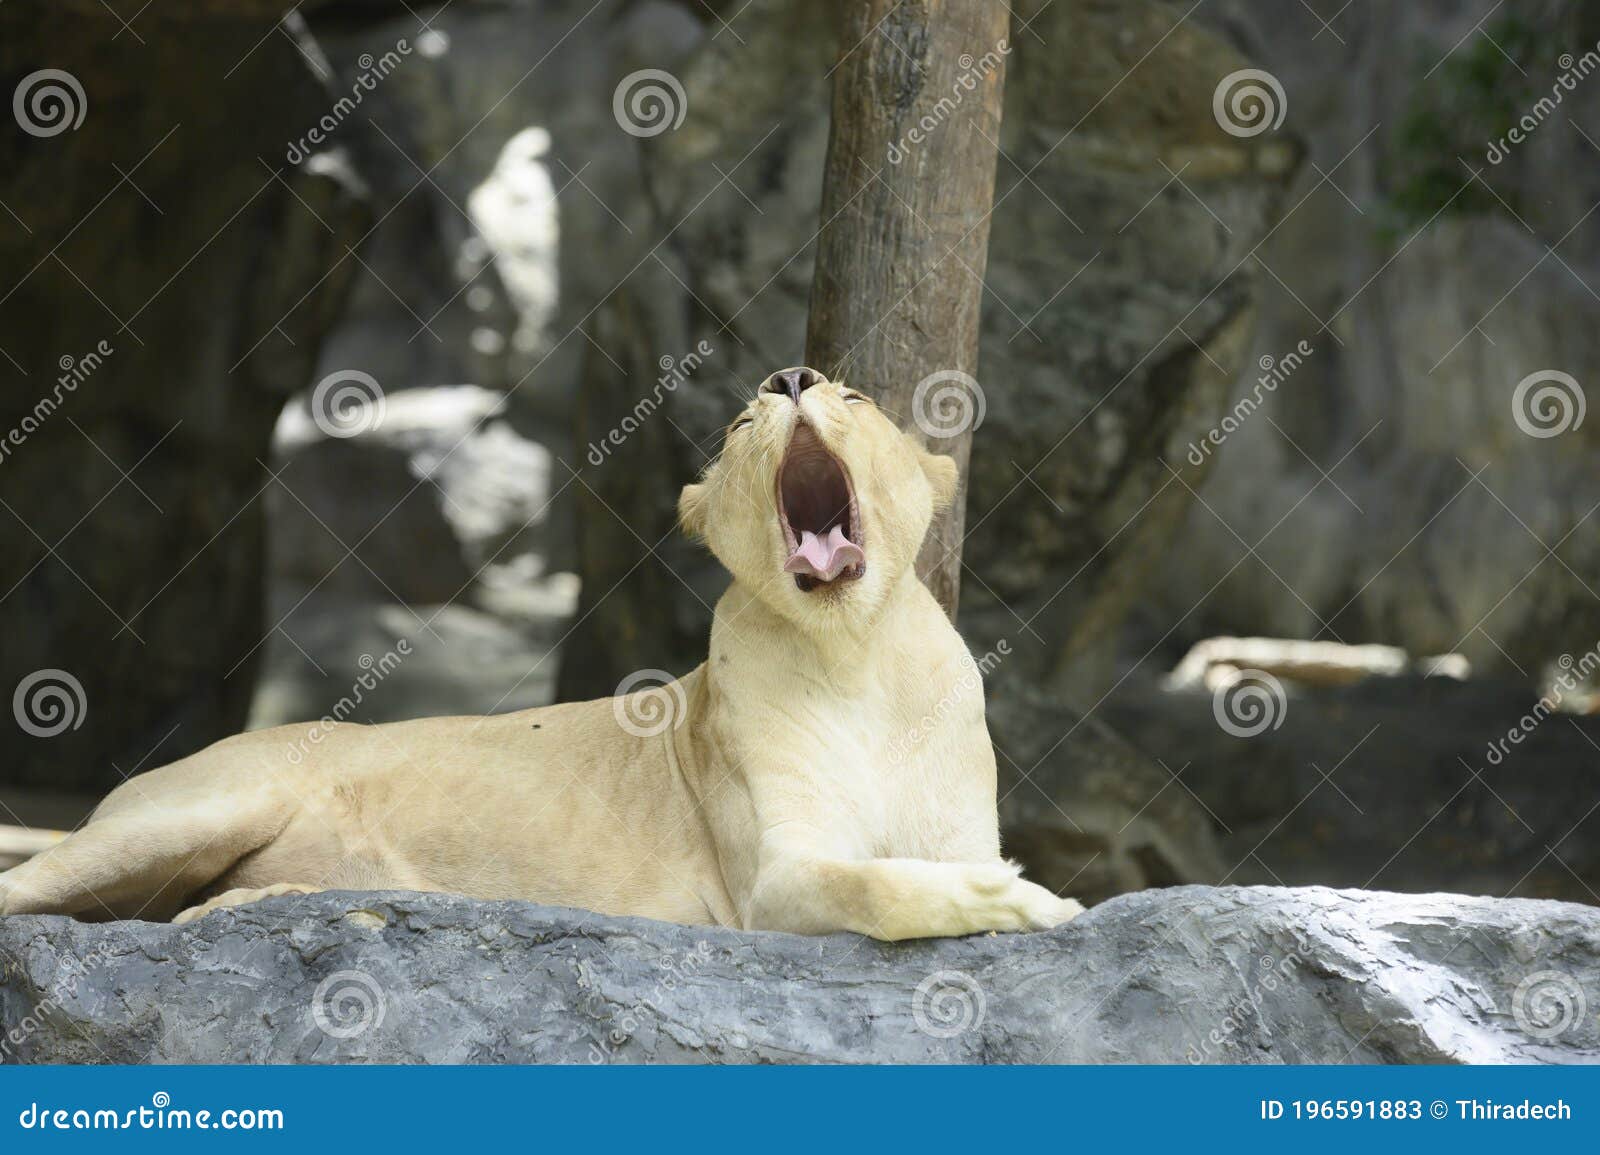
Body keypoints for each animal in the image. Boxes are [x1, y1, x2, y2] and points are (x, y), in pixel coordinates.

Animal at [0, 367, 1082, 940]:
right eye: (743, 419)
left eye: (853, 394)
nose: (790, 379)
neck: (853, 653)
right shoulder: (771, 882)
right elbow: (874, 881)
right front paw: (1023, 896)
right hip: (202, 806)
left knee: (185, 912)